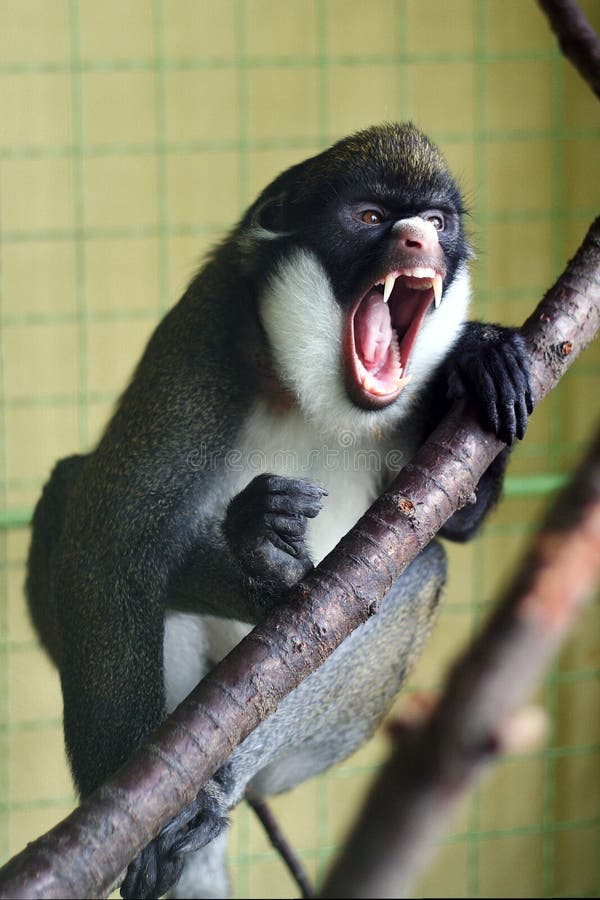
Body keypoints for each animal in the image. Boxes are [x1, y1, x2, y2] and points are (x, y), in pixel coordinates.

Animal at [26, 122, 533, 899]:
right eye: (371, 217)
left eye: (437, 220)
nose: (418, 238)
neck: (314, 393)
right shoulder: (203, 328)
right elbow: (113, 539)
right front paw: (123, 824)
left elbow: (453, 523)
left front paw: (484, 358)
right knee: (68, 494)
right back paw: (255, 557)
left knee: (420, 573)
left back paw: (224, 774)